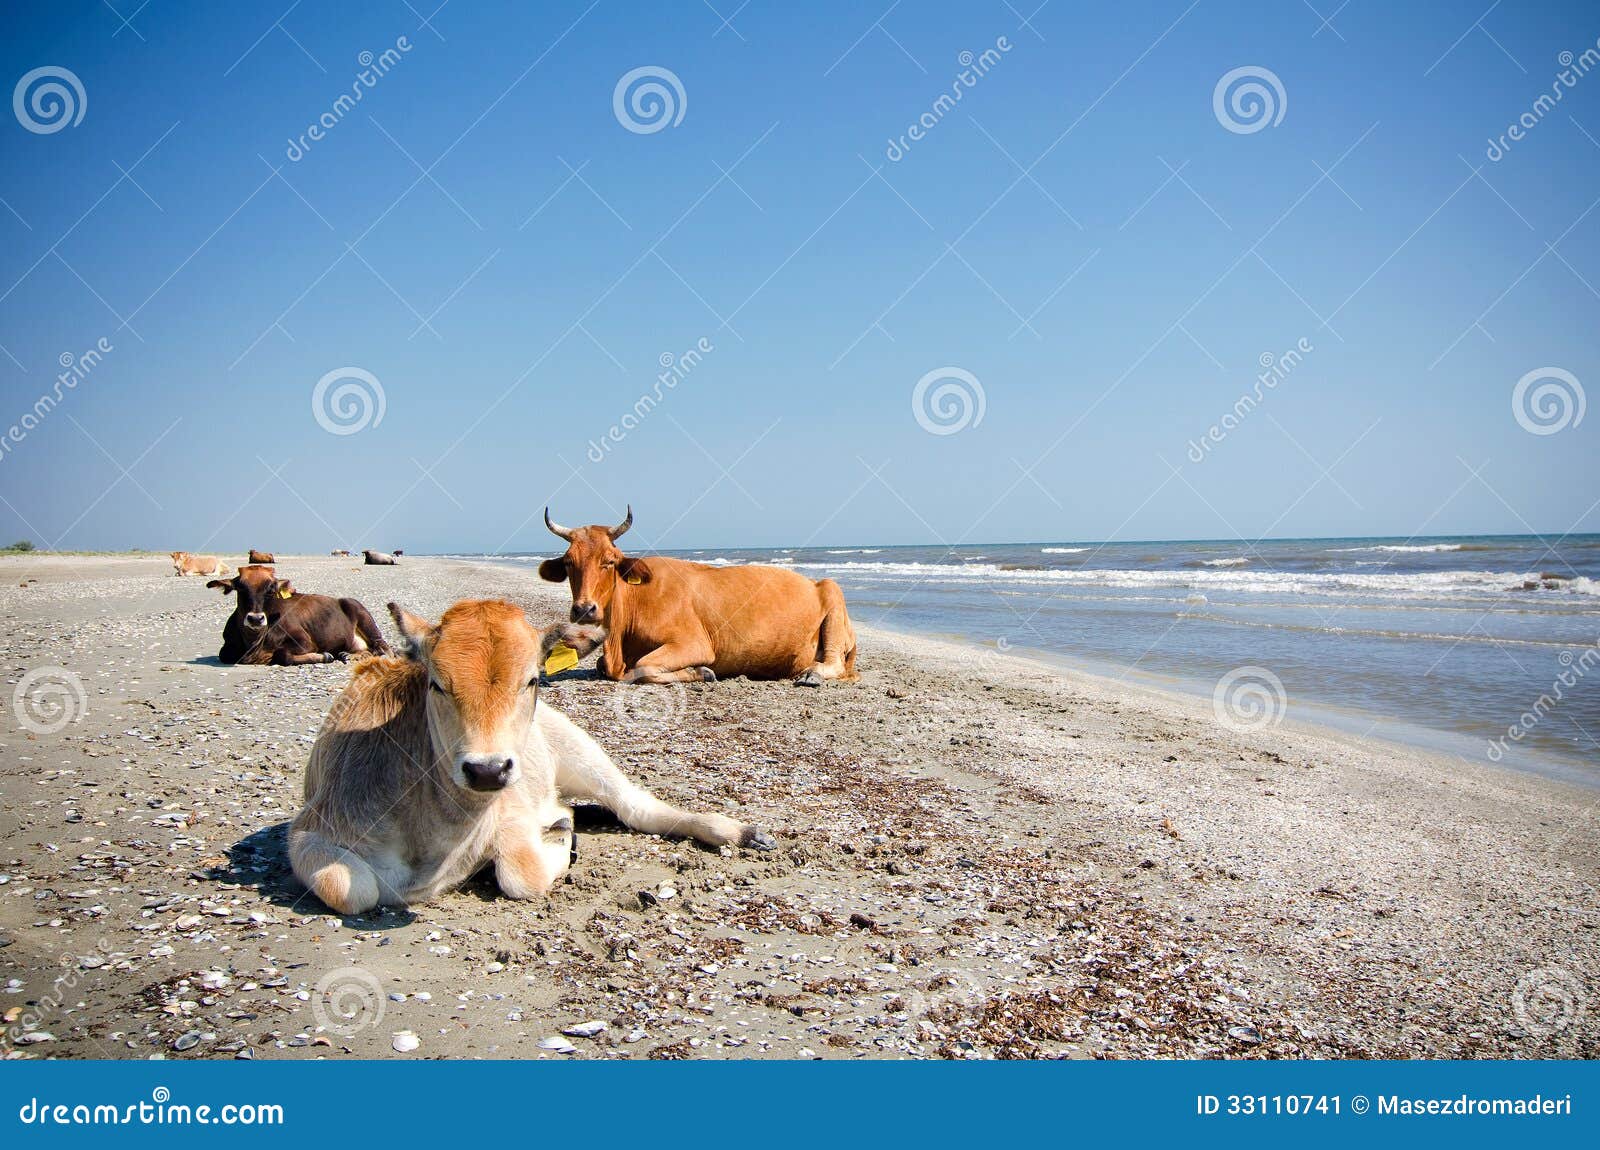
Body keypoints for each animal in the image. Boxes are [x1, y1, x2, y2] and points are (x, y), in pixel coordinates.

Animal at [206, 564, 390, 666]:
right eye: (240, 588)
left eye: (271, 589)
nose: (256, 618)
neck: (253, 643)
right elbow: (224, 655)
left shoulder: (304, 641)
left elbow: (282, 654)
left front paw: (323, 656)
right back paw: (348, 655)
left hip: (366, 621)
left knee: (385, 651)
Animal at [288, 600, 775, 913]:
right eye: (436, 684)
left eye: (533, 680)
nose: (487, 770)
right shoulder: (309, 829)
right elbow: (350, 888)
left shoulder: (513, 809)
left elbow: (522, 874)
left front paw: (559, 840)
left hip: (579, 749)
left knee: (635, 807)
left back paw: (742, 831)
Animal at [539, 507, 858, 687]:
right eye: (568, 562)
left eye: (610, 561)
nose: (584, 609)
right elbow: (604, 666)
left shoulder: (693, 642)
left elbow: (643, 667)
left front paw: (701, 672)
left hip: (833, 595)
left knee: (833, 662)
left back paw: (812, 673)